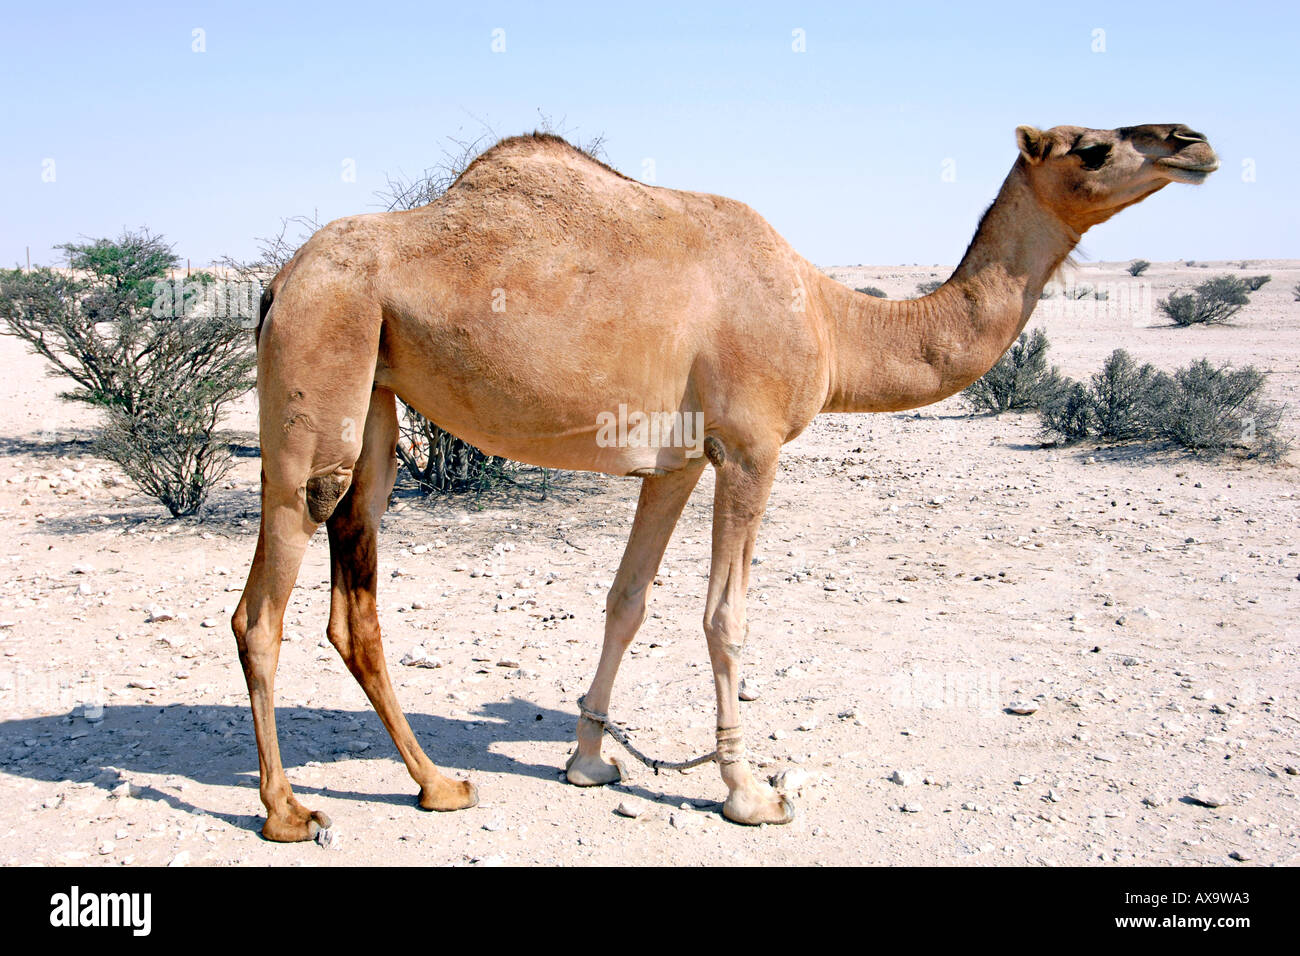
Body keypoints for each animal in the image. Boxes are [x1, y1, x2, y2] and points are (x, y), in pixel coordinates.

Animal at [233, 123, 1218, 839]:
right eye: (1092, 147)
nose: (1193, 142)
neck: (832, 319)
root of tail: (278, 282)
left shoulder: (672, 464)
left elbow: (626, 600)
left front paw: (588, 762)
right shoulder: (751, 448)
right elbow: (725, 617)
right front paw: (749, 793)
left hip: (373, 392)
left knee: (352, 590)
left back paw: (439, 784)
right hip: (323, 356)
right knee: (264, 601)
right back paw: (287, 812)